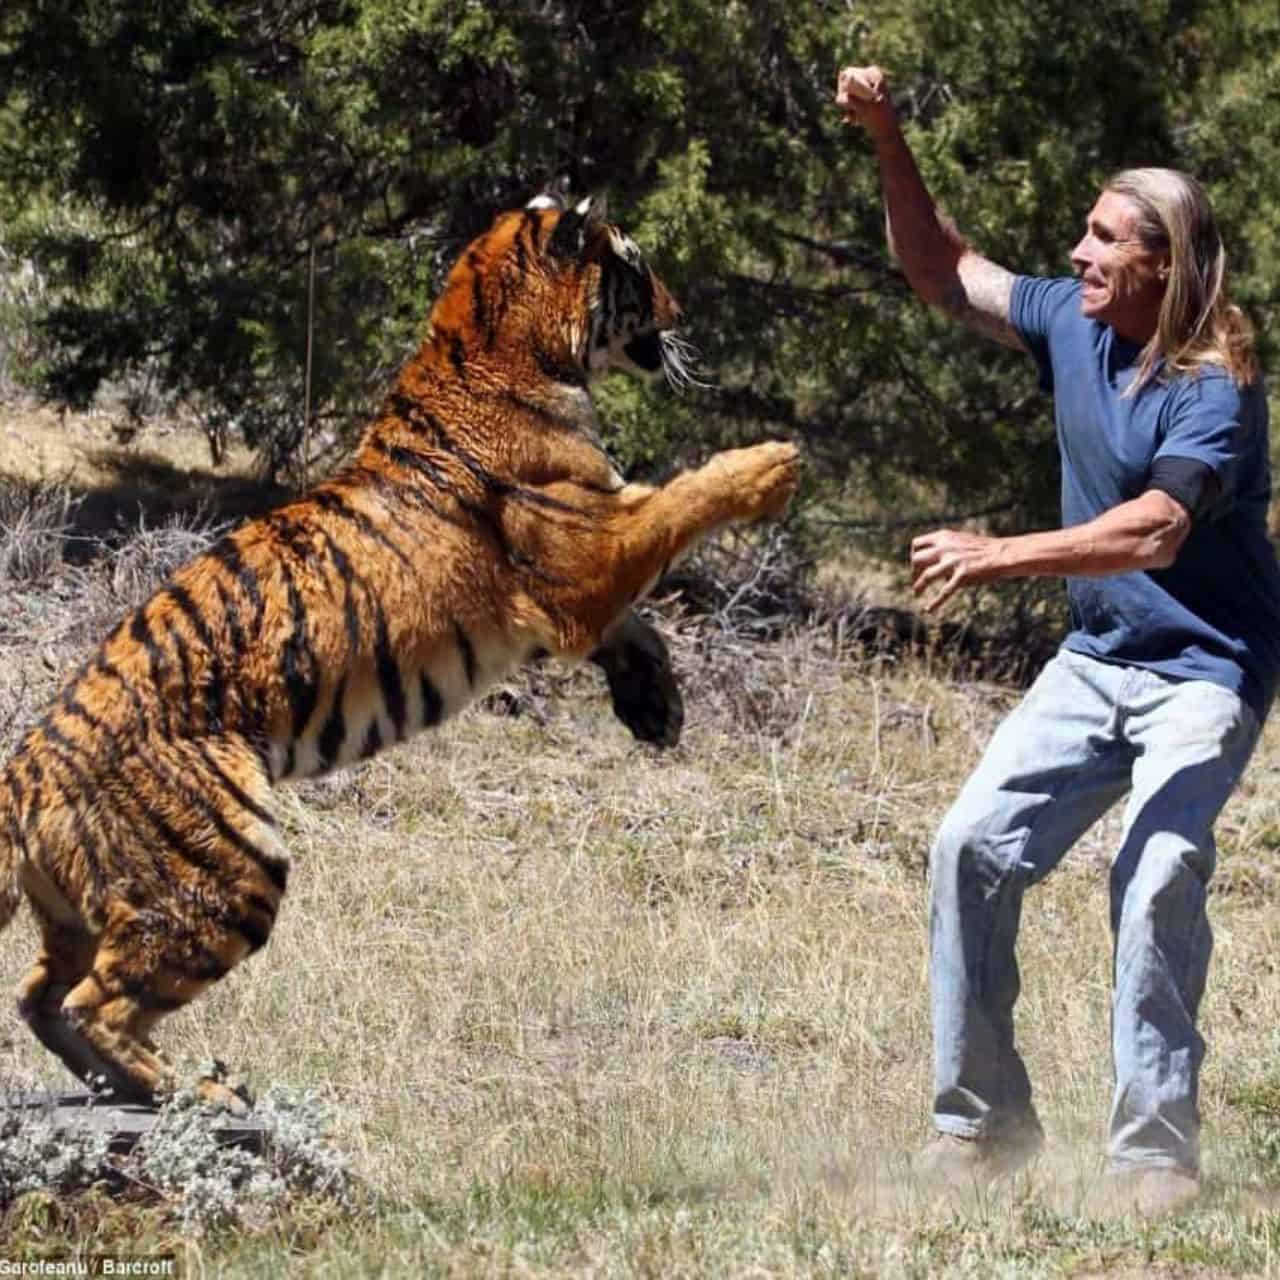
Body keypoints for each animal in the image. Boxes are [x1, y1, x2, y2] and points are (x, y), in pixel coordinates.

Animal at [0, 192, 800, 1114]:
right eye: (635, 266)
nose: (678, 311)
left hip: (79, 909)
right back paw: (197, 1093)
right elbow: (680, 502)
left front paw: (656, 706)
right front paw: (771, 466)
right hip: (231, 869)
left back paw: (132, 1086)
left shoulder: (583, 576)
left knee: (37, 994)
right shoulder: (589, 550)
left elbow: (640, 625)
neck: (492, 340)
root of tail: (25, 769)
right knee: (97, 1002)